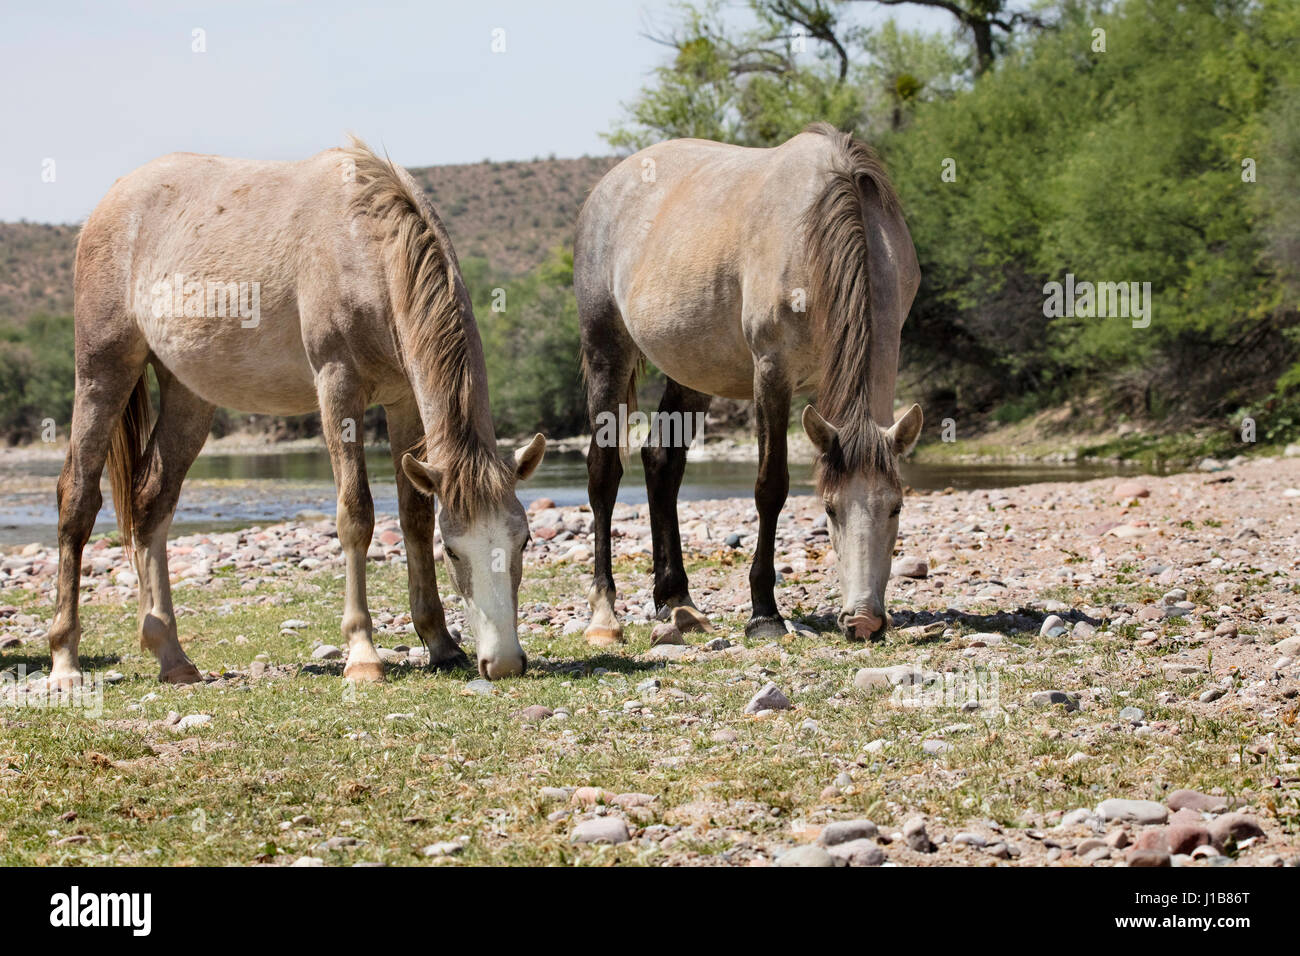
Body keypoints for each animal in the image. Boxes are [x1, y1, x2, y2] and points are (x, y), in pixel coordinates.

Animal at [45, 138, 545, 688]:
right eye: (454, 549)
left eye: (523, 541)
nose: (503, 662)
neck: (366, 247)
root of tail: (110, 203)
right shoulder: (337, 386)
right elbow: (356, 514)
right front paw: (362, 654)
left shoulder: (403, 403)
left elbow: (413, 517)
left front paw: (440, 644)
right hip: (103, 372)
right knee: (77, 502)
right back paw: (65, 661)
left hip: (187, 395)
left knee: (151, 502)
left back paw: (171, 656)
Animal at [575, 123, 922, 644]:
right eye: (830, 509)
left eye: (896, 508)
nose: (863, 621)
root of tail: (606, 188)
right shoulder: (772, 373)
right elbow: (770, 486)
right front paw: (764, 613)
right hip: (607, 354)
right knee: (604, 474)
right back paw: (604, 615)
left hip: (694, 371)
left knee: (662, 463)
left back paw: (678, 602)